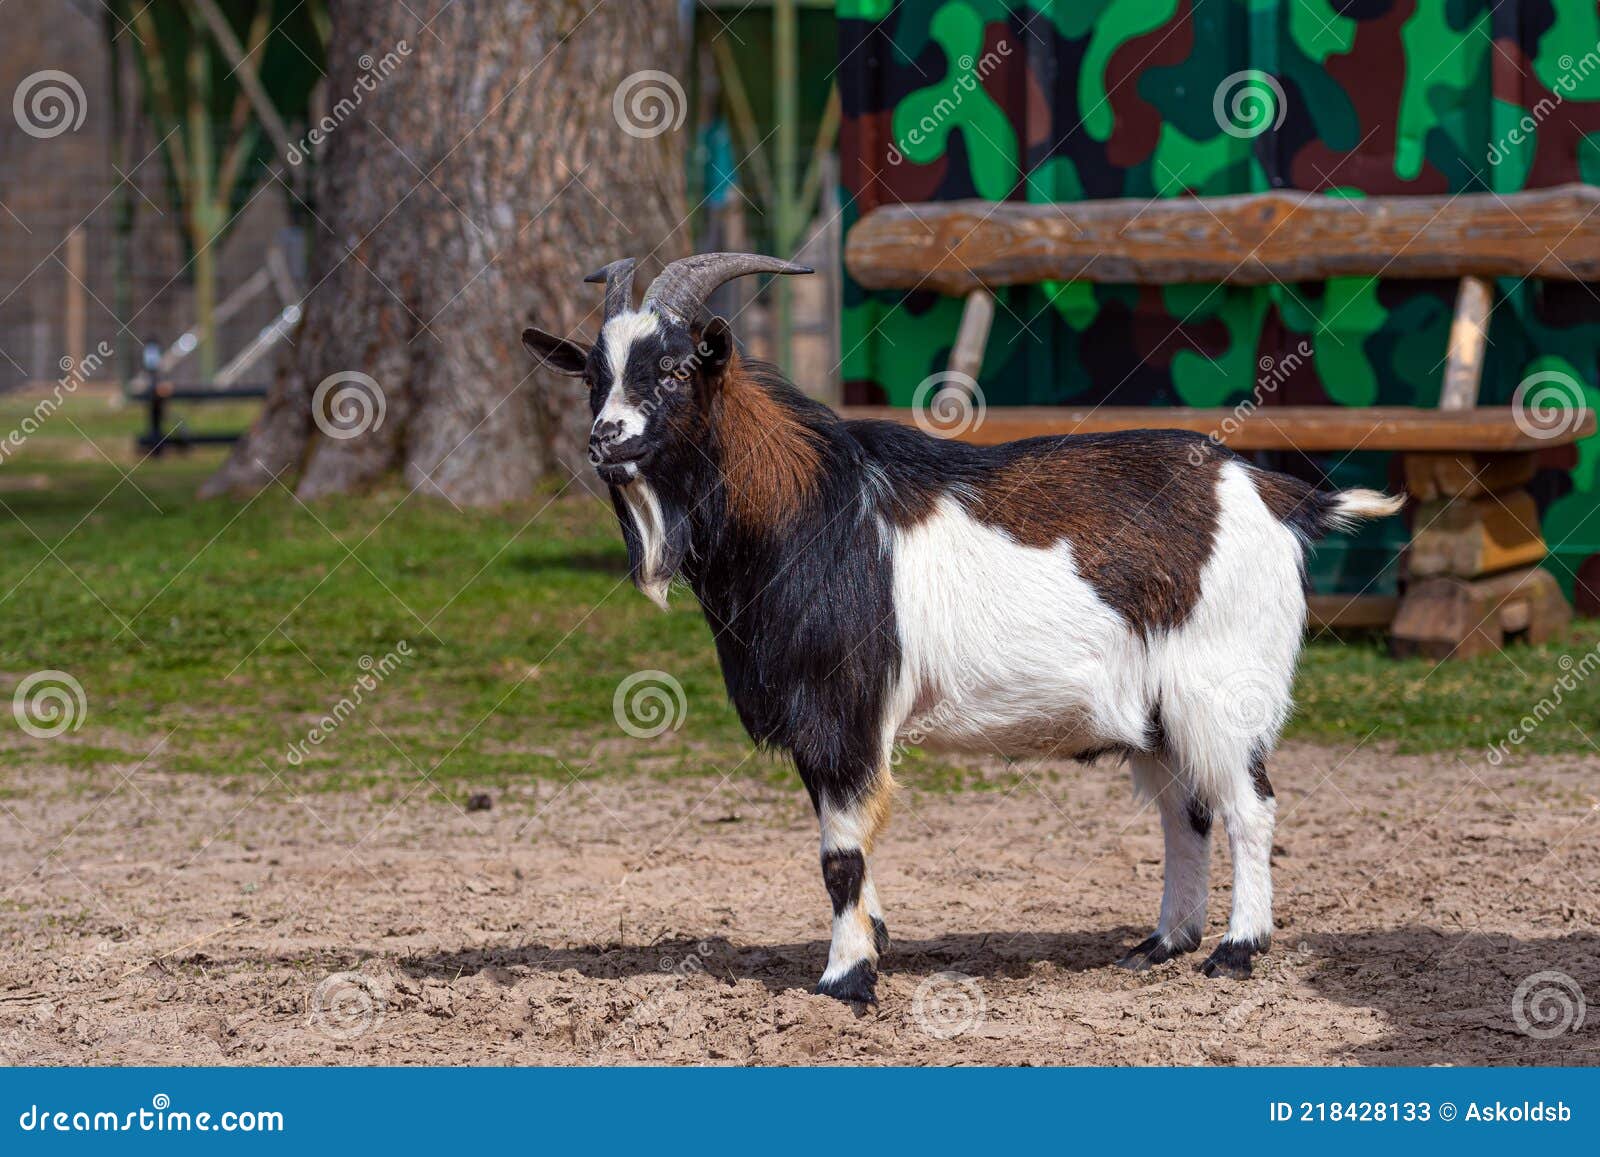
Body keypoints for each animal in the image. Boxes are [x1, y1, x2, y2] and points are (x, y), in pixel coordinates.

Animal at [521, 253, 1404, 1006]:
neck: (805, 506)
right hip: (1158, 710)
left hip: (1220, 684)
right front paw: (874, 939)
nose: (605, 438)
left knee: (1249, 806)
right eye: (594, 376)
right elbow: (850, 842)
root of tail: (1273, 494)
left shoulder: (842, 709)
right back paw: (1162, 943)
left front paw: (846, 978)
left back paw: (1236, 949)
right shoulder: (819, 727)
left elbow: (840, 852)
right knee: (1184, 810)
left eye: (673, 369)